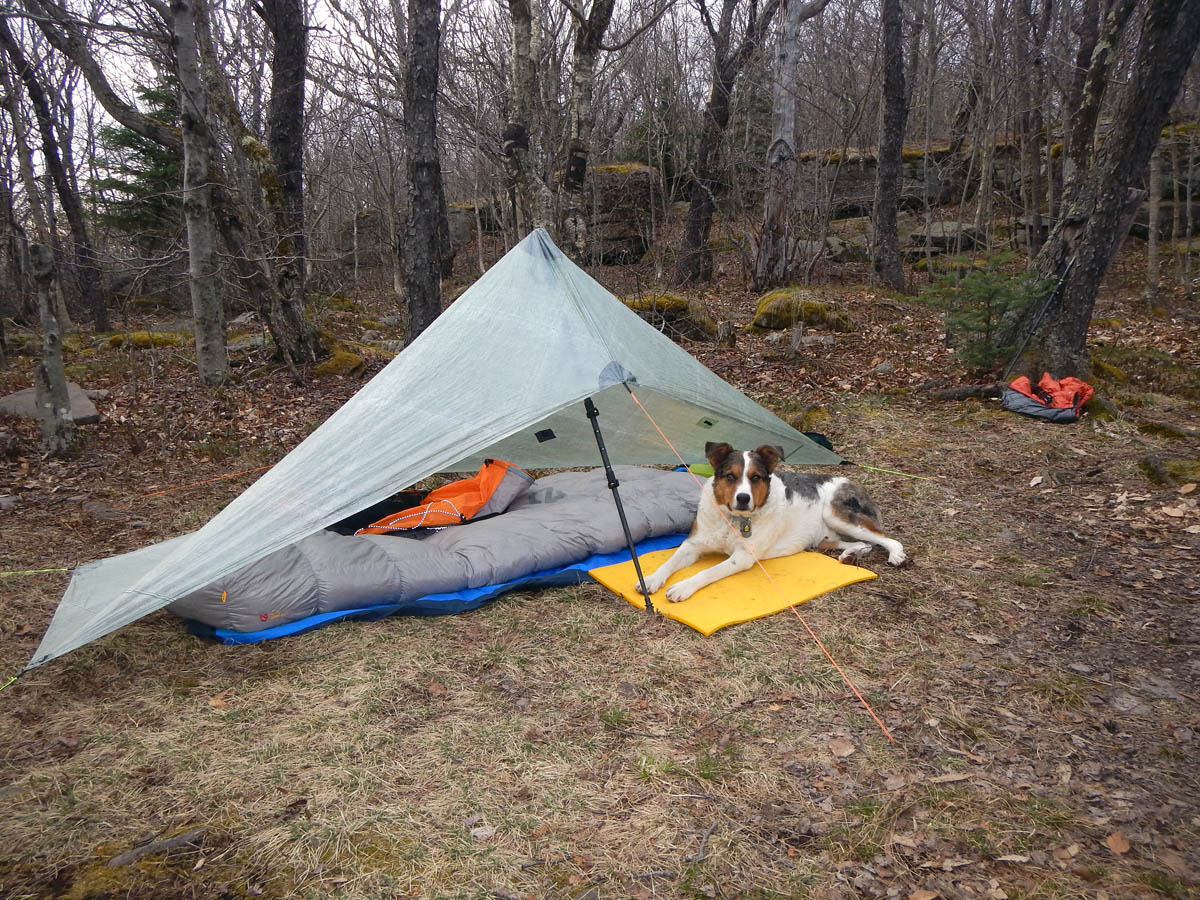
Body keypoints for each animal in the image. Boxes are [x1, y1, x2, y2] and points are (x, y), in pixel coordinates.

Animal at [638, 441, 907, 602]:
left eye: (756, 477)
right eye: (730, 477)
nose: (743, 498)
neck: (733, 520)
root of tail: (854, 484)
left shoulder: (742, 557)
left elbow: (707, 572)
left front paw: (683, 587)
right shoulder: (693, 544)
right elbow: (668, 563)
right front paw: (651, 579)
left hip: (836, 514)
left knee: (887, 539)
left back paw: (895, 555)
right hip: (823, 538)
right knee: (862, 543)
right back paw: (851, 554)